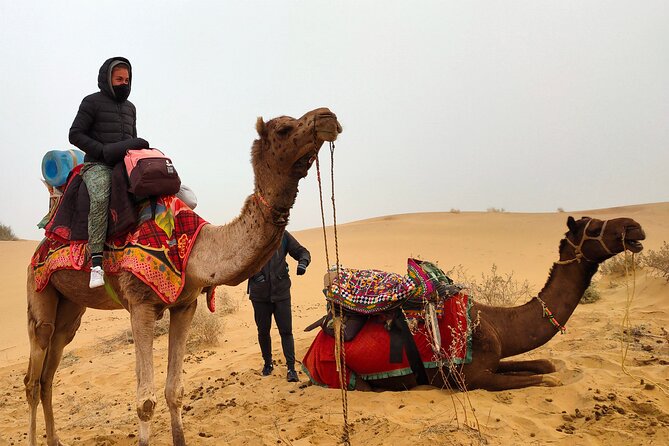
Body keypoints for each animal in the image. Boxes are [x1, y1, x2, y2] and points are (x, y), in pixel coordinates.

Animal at [24, 107, 342, 446]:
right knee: (33, 374)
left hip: (71, 309)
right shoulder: (140, 305)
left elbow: (174, 391)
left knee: (48, 374)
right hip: (38, 289)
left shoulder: (185, 305)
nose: (328, 116)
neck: (196, 249)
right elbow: (145, 401)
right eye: (283, 129)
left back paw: (55, 440)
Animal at [306, 216, 645, 392]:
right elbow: (546, 379)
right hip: (343, 376)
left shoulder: (493, 359)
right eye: (594, 227)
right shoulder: (471, 377)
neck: (496, 324)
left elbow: (546, 365)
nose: (634, 226)